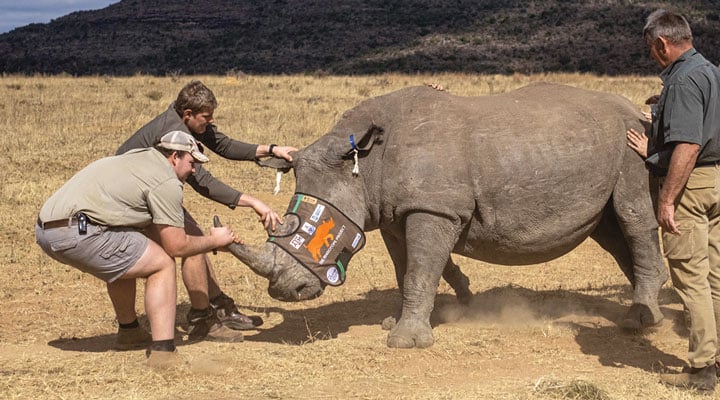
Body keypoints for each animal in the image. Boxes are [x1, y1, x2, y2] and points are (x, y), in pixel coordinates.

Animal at [220, 83, 669, 349]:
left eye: (314, 231)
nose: (285, 292)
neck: (364, 162)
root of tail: (637, 110)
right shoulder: (394, 213)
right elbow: (407, 269)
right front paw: (397, 322)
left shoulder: (432, 207)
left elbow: (421, 270)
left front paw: (405, 342)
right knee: (611, 231)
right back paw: (649, 306)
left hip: (633, 144)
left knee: (631, 217)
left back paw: (638, 322)